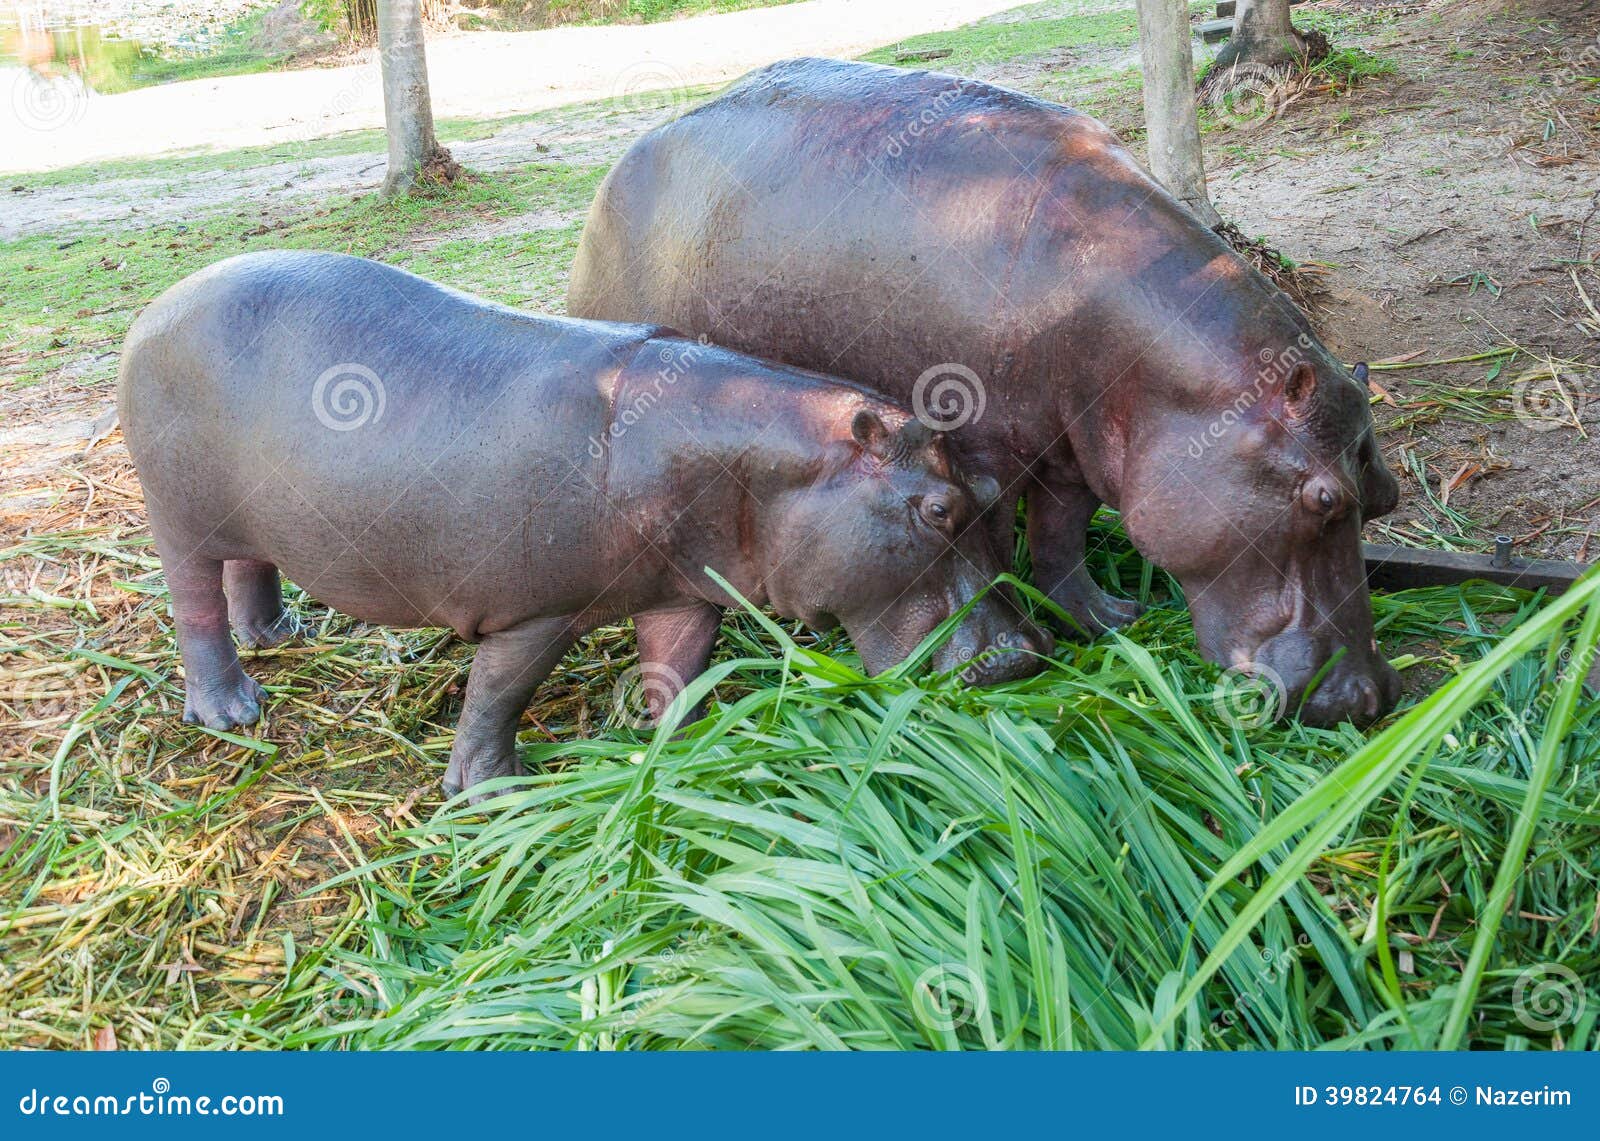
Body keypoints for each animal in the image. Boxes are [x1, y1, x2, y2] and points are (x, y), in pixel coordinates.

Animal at [119, 250, 1049, 800]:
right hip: (177, 516)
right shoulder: (538, 610)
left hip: (249, 518)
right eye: (939, 510)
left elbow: (678, 665)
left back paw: (280, 634)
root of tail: (153, 307)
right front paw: (493, 792)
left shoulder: (683, 587)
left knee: (250, 567)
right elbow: (499, 693)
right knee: (195, 607)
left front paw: (682, 741)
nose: (1022, 658)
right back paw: (235, 712)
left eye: (994, 485)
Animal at [567, 57, 1403, 726]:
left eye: (1384, 493)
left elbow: (1062, 541)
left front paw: (1111, 621)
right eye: (1324, 498)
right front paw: (1025, 645)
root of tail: (610, 178)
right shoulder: (982, 457)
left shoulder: (1076, 450)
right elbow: (994, 550)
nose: (1371, 697)